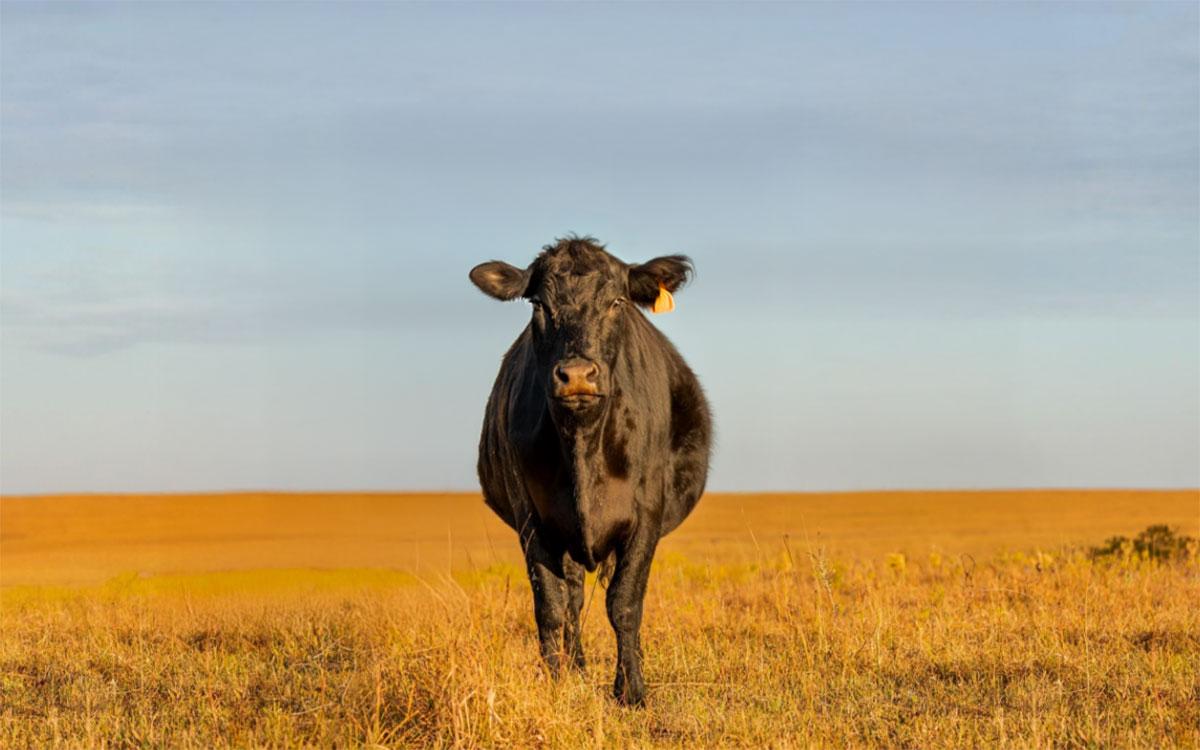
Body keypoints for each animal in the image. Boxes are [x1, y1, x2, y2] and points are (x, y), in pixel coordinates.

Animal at [469, 235, 712, 706]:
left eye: (617, 301)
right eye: (539, 305)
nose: (578, 375)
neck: (583, 446)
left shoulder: (646, 515)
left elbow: (625, 602)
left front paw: (631, 690)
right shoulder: (531, 517)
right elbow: (551, 604)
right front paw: (556, 681)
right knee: (574, 597)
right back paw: (576, 666)